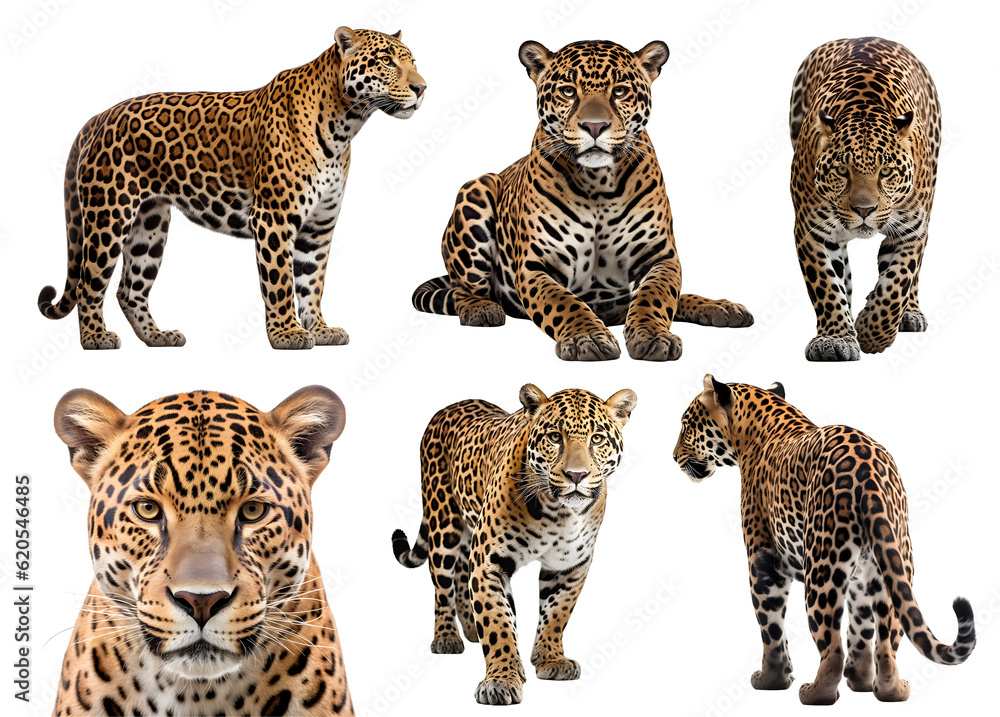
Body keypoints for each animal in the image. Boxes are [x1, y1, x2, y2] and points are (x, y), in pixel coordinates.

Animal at [38, 27, 425, 350]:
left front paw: (319, 329)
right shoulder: (274, 218)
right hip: (109, 214)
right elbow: (280, 281)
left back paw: (158, 336)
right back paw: (95, 337)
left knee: (129, 289)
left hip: (150, 224)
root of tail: (98, 117)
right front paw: (287, 334)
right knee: (89, 282)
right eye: (387, 60)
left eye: (414, 61)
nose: (422, 88)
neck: (345, 124)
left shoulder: (319, 227)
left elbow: (312, 281)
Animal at [391, 384, 637, 704]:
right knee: (442, 585)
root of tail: (450, 406)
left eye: (597, 439)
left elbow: (556, 614)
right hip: (442, 524)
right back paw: (447, 637)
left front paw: (550, 659)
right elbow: (497, 622)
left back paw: (469, 627)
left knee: (461, 573)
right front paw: (501, 680)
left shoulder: (569, 566)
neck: (557, 513)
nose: (577, 475)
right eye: (554, 437)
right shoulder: (489, 561)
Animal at [411, 39, 752, 362]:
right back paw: (480, 309)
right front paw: (586, 338)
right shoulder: (536, 265)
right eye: (567, 91)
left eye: (620, 91)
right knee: (465, 288)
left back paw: (723, 308)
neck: (598, 184)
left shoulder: (659, 256)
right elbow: (563, 302)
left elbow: (654, 298)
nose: (595, 126)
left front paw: (654, 336)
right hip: (476, 188)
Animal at [673, 375, 976, 705]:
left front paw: (771, 679)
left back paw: (814, 693)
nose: (673, 457)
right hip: (892, 559)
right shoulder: (859, 578)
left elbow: (770, 627)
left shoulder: (762, 557)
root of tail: (869, 472)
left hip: (821, 563)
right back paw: (890, 689)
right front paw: (859, 679)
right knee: (886, 641)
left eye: (686, 425)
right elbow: (860, 628)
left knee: (832, 649)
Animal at [789, 37, 941, 361]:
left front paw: (873, 333)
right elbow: (825, 284)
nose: (864, 209)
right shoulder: (811, 230)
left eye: (885, 172)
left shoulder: (913, 229)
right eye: (842, 171)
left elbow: (897, 284)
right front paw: (835, 337)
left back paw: (910, 313)